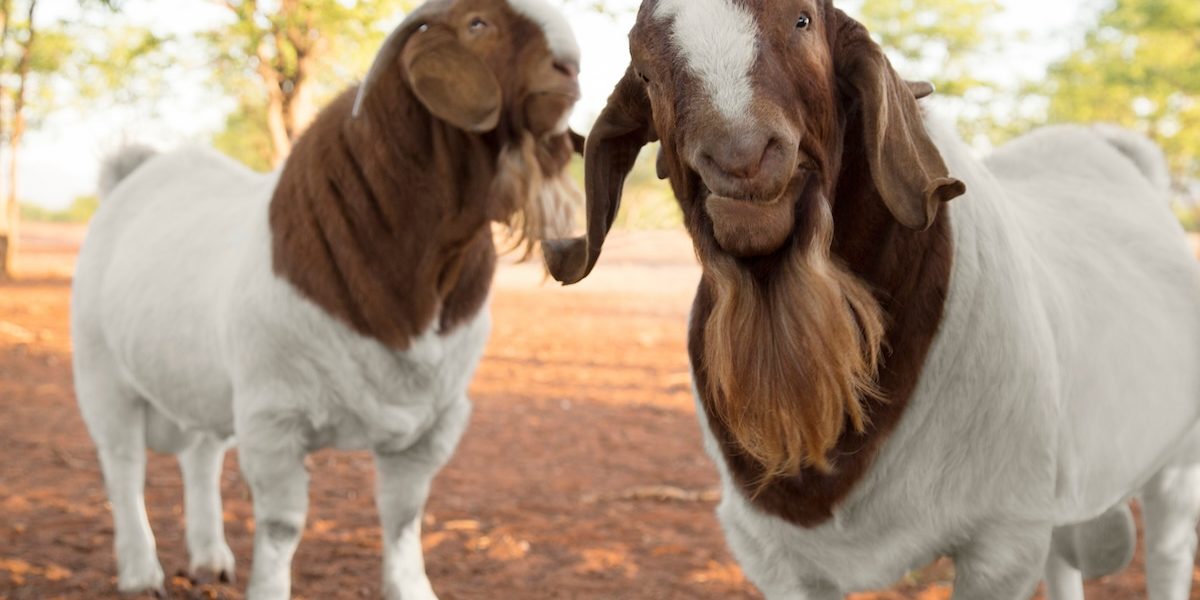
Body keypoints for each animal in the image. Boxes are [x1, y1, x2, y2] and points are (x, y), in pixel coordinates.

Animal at [71, 0, 581, 597]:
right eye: (478, 24)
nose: (570, 68)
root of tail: (133, 175)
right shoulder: (274, 418)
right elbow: (281, 526)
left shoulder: (433, 423)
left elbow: (403, 515)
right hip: (102, 374)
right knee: (123, 465)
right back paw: (140, 573)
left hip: (200, 380)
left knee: (200, 454)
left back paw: (210, 558)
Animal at [545, 1, 1200, 598]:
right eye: (645, 70)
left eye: (803, 21)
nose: (742, 157)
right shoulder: (774, 558)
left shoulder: (1002, 538)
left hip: (1175, 466)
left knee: (1166, 553)